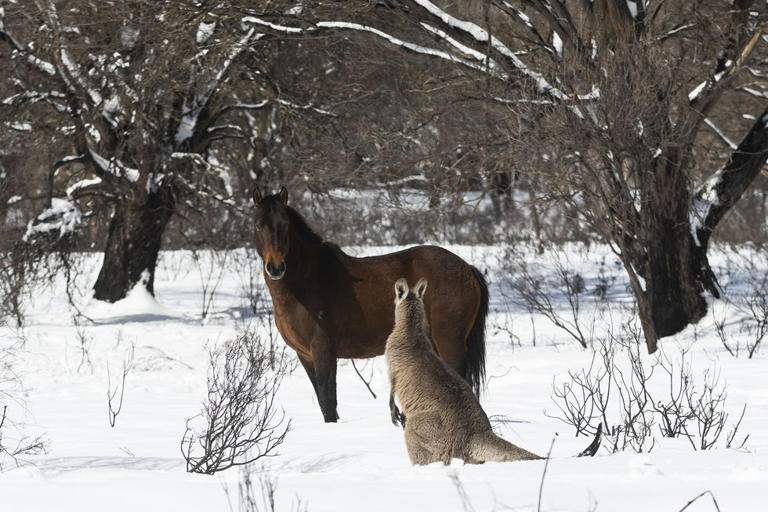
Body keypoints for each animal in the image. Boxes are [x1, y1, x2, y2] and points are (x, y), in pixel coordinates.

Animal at [252, 186, 488, 423]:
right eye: (258, 224)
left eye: (284, 224)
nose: (275, 267)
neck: (306, 283)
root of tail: (467, 268)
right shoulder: (306, 356)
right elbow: (323, 403)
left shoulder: (323, 350)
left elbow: (329, 404)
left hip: (450, 342)